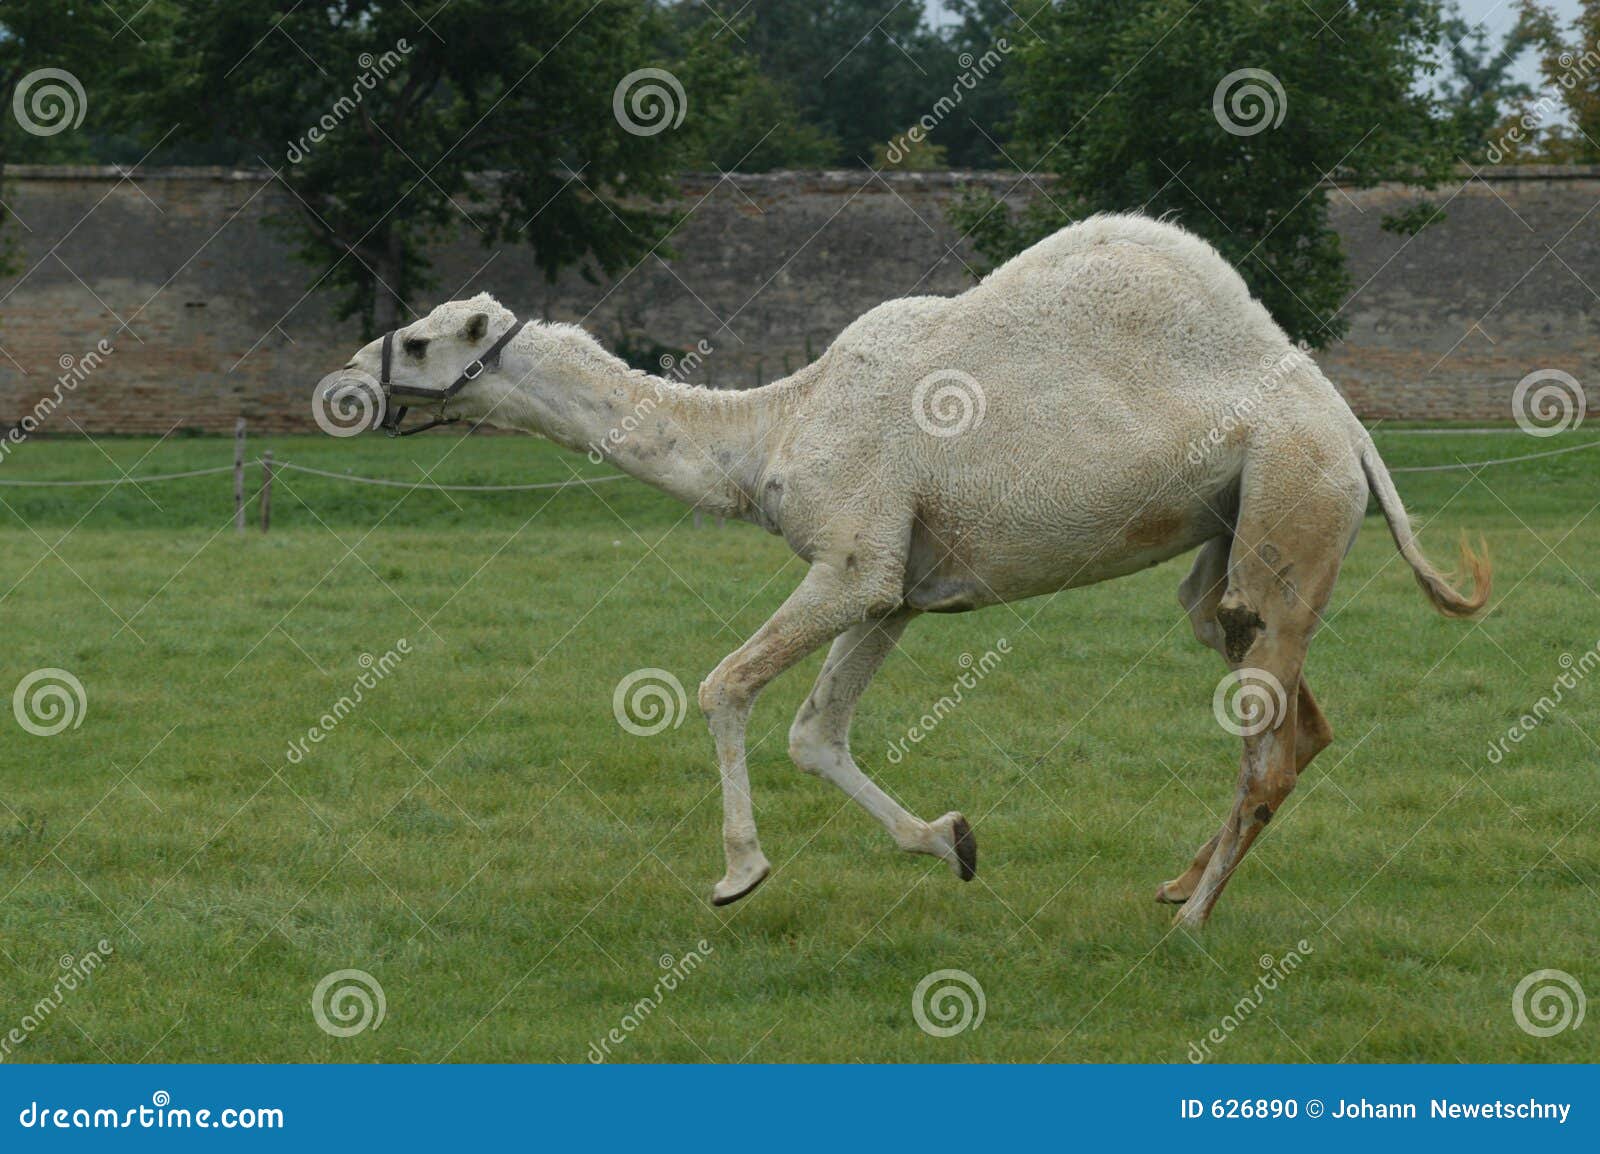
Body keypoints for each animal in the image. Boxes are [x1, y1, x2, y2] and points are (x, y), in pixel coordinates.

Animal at [322, 213, 1489, 926]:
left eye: (420, 340)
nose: (341, 387)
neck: (775, 425)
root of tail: (1350, 427)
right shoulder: (898, 588)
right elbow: (815, 731)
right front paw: (952, 841)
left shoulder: (851, 559)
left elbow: (724, 687)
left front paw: (739, 873)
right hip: (1230, 557)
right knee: (1283, 702)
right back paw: (1174, 885)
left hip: (1290, 509)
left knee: (1269, 747)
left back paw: (1194, 919)